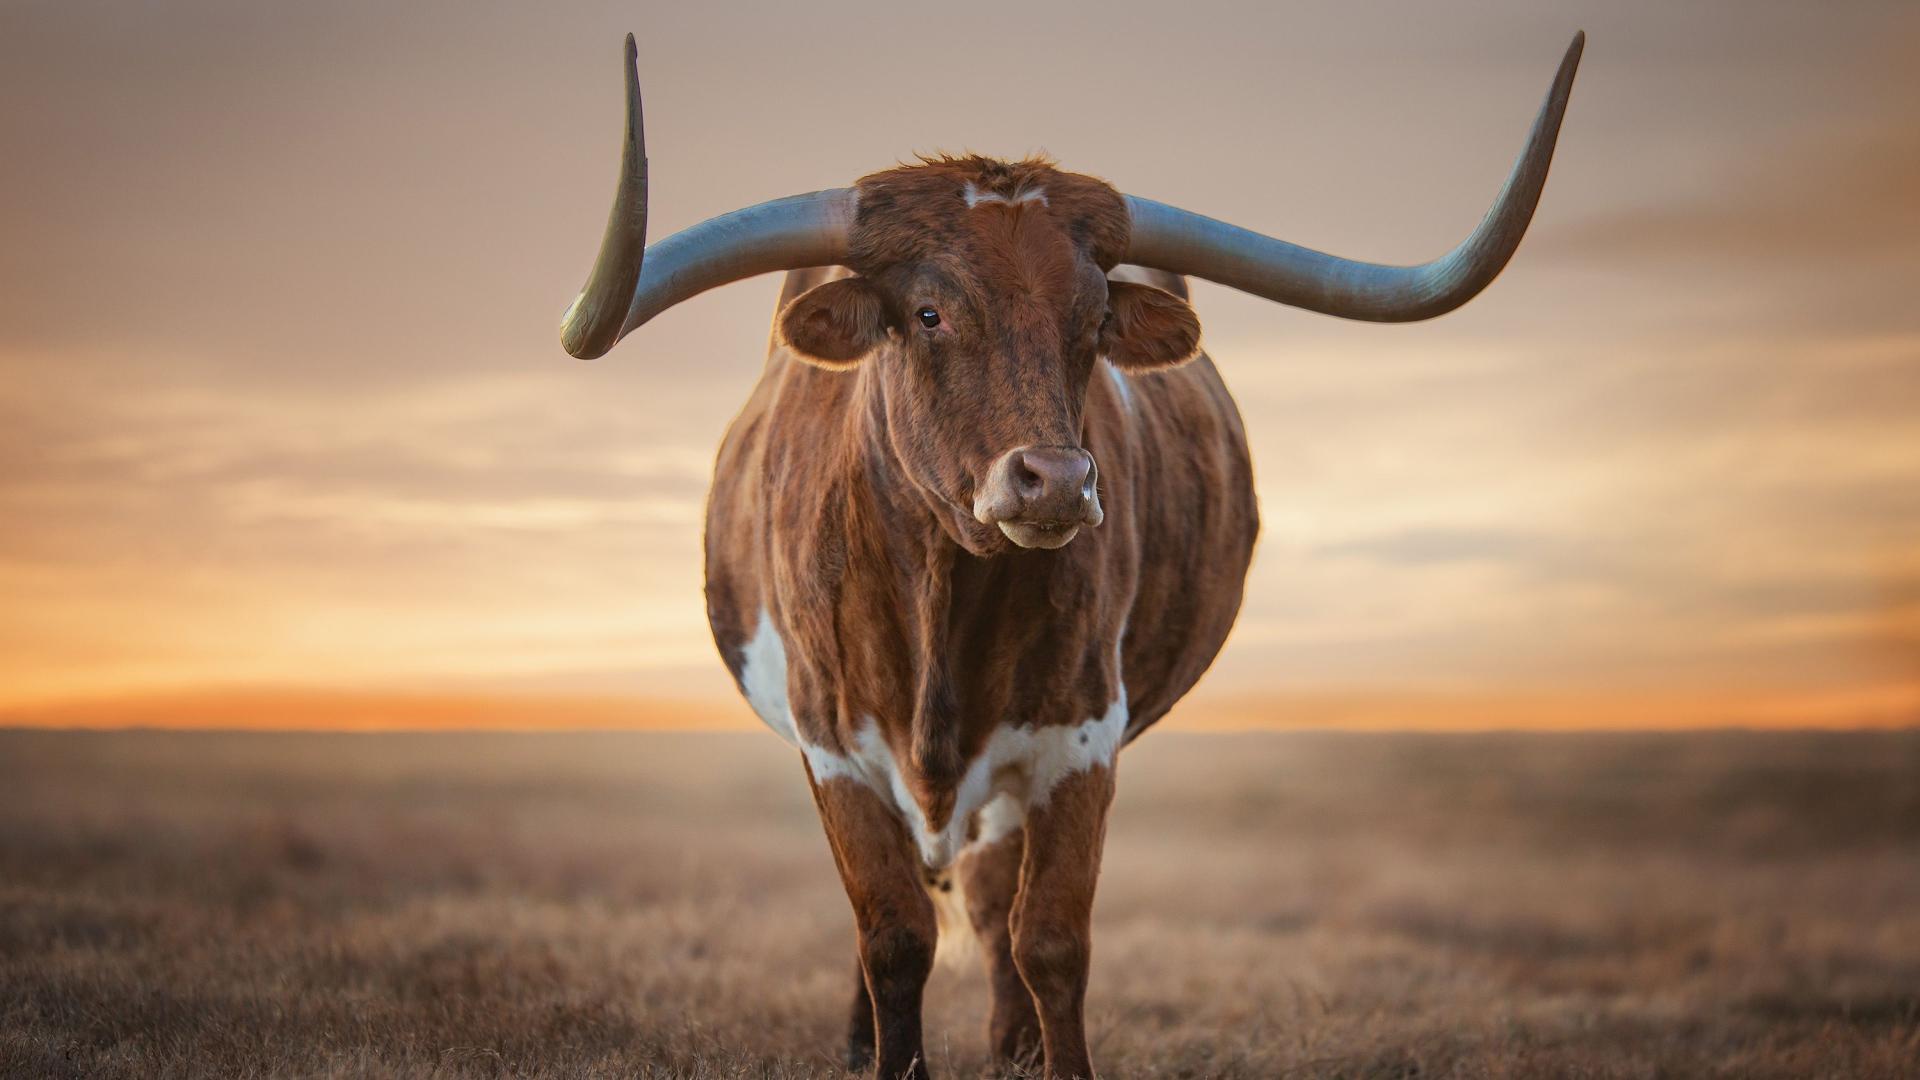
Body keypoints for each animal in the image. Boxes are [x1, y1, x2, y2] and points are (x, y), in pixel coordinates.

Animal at [559, 31, 1582, 1080]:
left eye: (1092, 322)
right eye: (928, 313)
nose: (1053, 481)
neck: (938, 595)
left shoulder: (1077, 740)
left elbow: (1048, 940)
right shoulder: (830, 743)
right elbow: (892, 936)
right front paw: (888, 1055)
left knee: (992, 905)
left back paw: (1011, 1046)